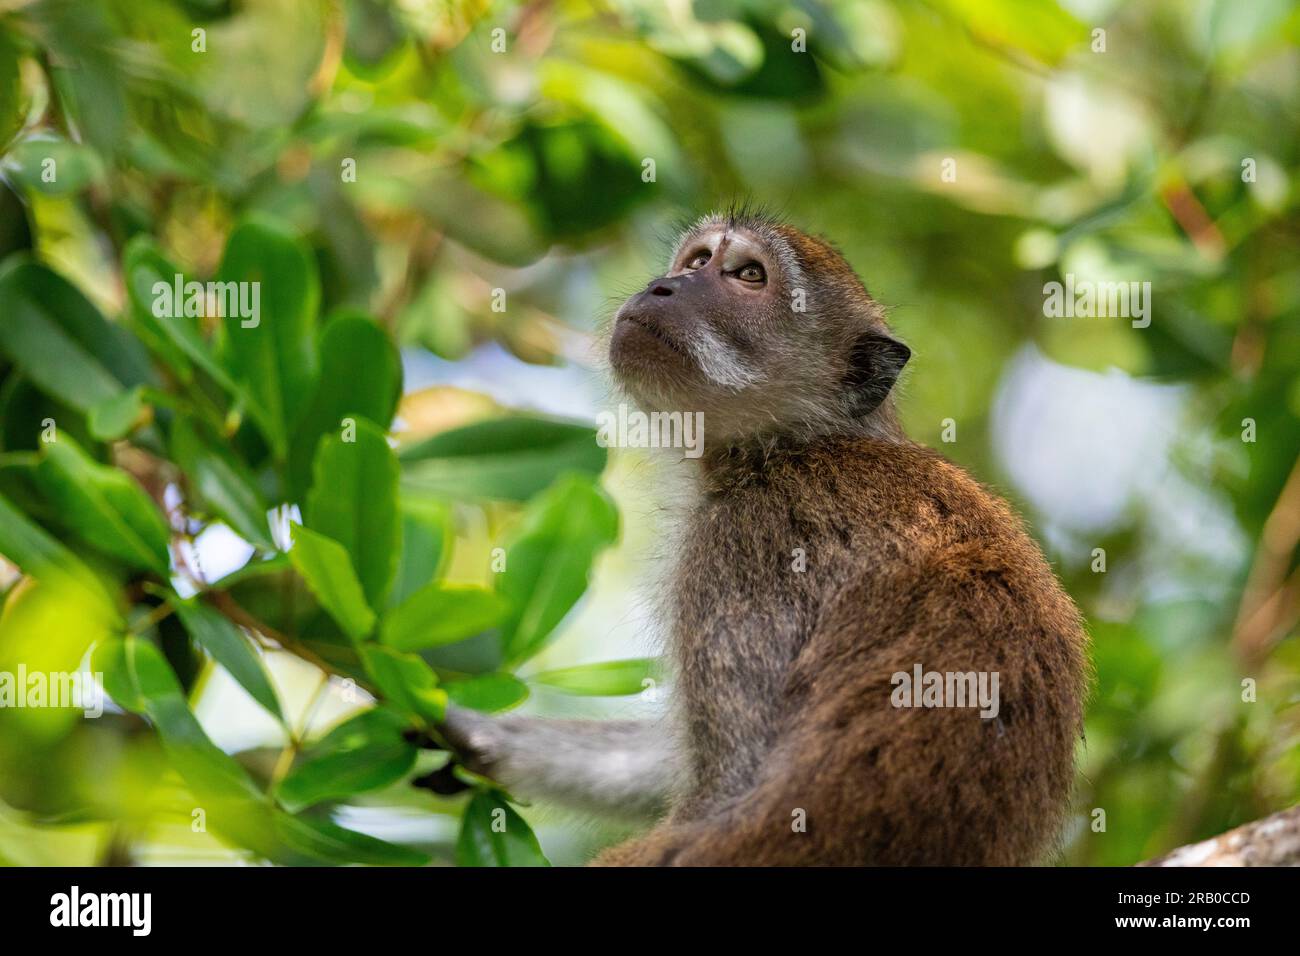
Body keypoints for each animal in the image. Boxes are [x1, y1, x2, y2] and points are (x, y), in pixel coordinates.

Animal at [436, 206, 1090, 866]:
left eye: (748, 275)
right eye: (698, 260)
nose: (663, 286)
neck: (783, 446)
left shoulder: (746, 545)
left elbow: (731, 782)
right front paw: (480, 736)